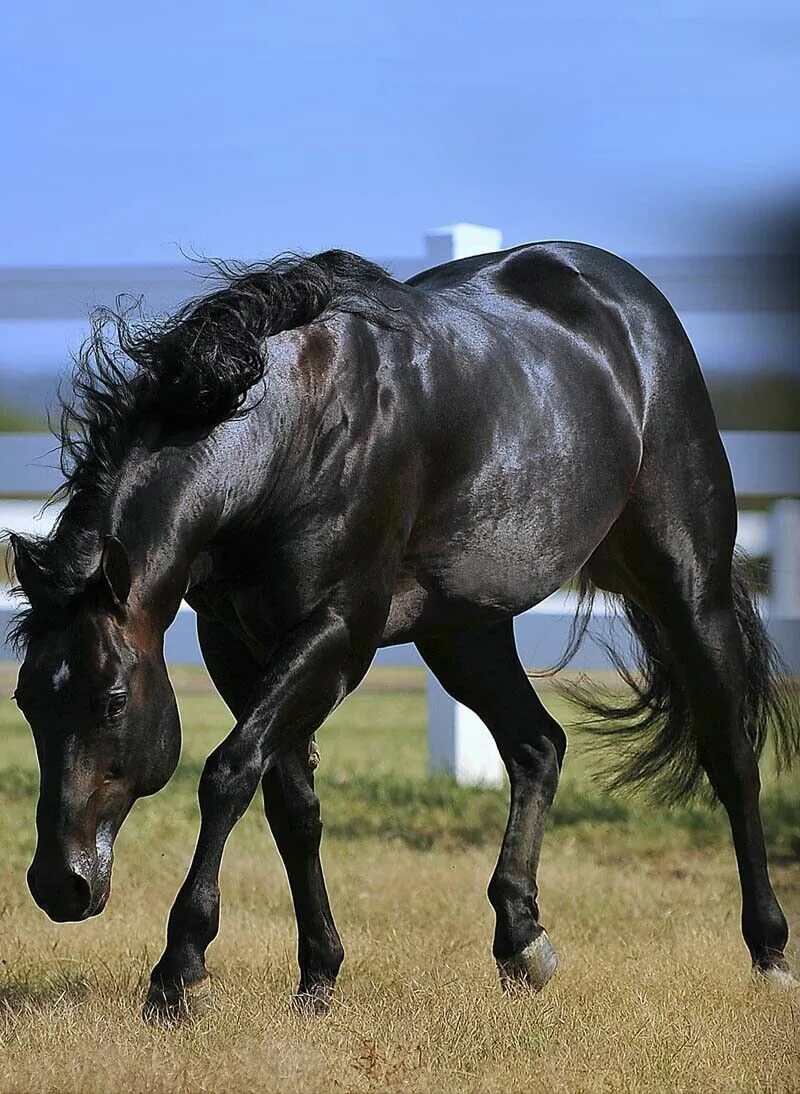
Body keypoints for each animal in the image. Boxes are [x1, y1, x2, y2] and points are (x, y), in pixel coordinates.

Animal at [9, 241, 796, 1015]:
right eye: (26, 701)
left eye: (113, 699)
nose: (59, 885)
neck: (296, 431)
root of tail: (631, 302)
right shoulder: (235, 644)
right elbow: (290, 802)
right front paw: (318, 976)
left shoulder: (337, 635)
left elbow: (228, 773)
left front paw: (179, 969)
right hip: (464, 631)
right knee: (538, 745)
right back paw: (522, 941)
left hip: (689, 590)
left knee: (731, 758)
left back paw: (769, 952)